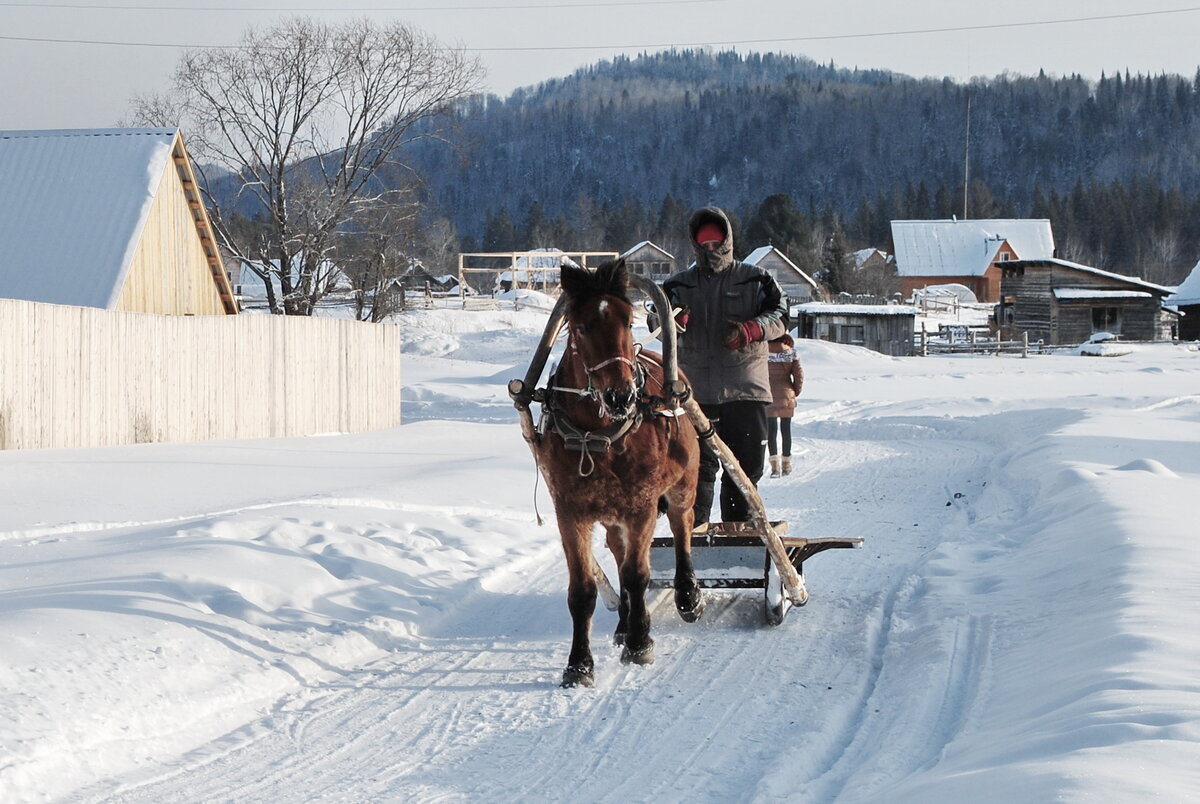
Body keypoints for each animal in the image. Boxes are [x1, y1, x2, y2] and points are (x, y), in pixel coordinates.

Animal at [535, 258, 700, 686]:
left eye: (628, 320)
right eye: (581, 327)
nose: (620, 394)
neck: (597, 437)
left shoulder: (641, 506)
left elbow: (638, 575)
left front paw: (641, 645)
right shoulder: (571, 511)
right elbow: (583, 590)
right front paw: (579, 664)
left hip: (683, 485)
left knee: (683, 528)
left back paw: (687, 595)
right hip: (611, 516)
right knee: (618, 550)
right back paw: (625, 623)